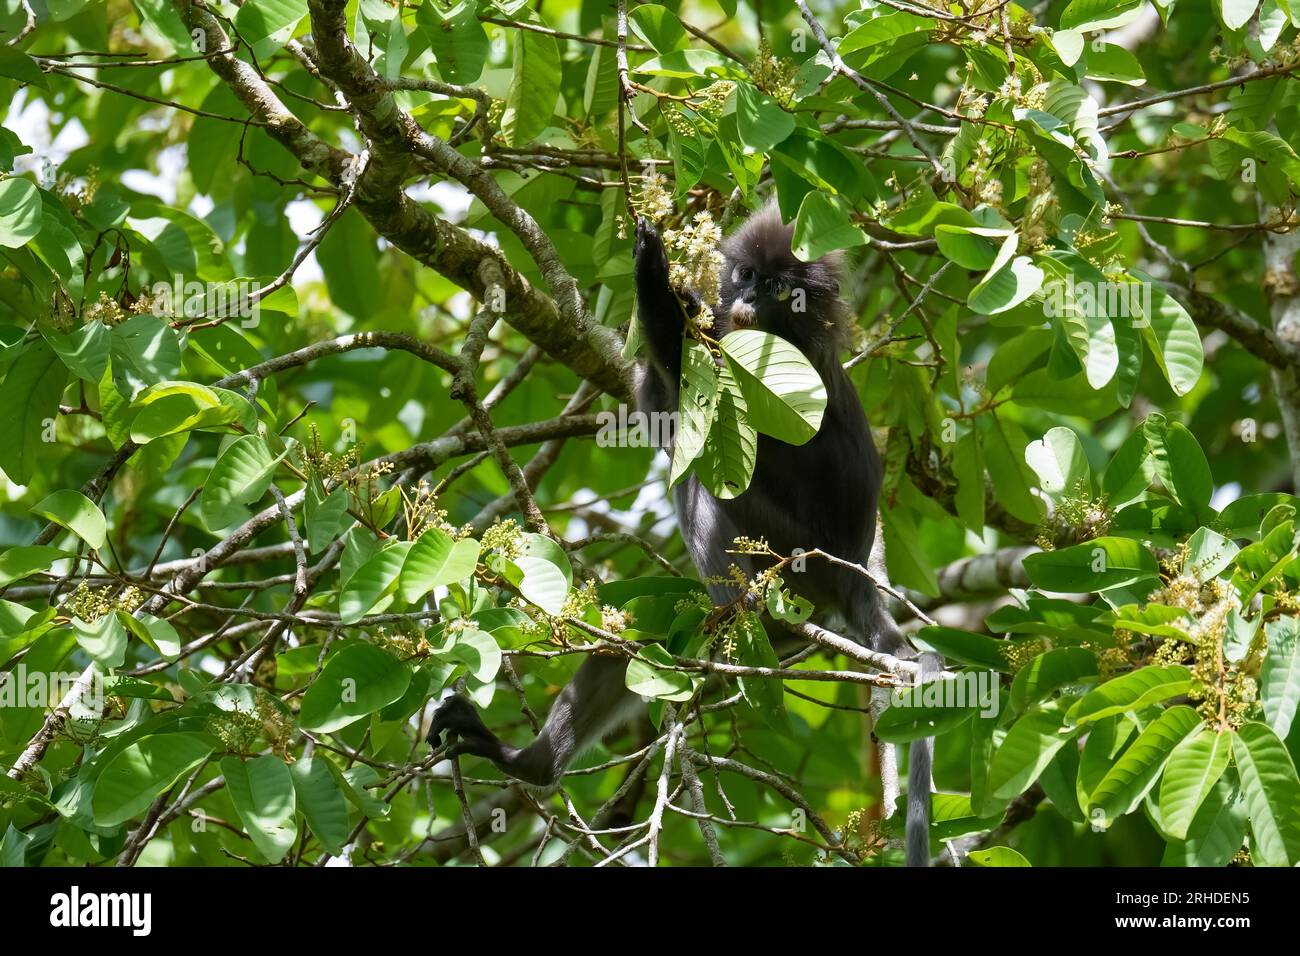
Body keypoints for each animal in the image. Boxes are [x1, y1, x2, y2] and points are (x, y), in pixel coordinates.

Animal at [427, 205, 936, 865]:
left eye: (778, 287)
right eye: (745, 274)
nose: (744, 297)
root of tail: (855, 580)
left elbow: (696, 410)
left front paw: (653, 276)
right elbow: (658, 405)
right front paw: (678, 291)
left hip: (798, 558)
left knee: (702, 476)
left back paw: (743, 614)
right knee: (630, 641)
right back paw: (530, 763)